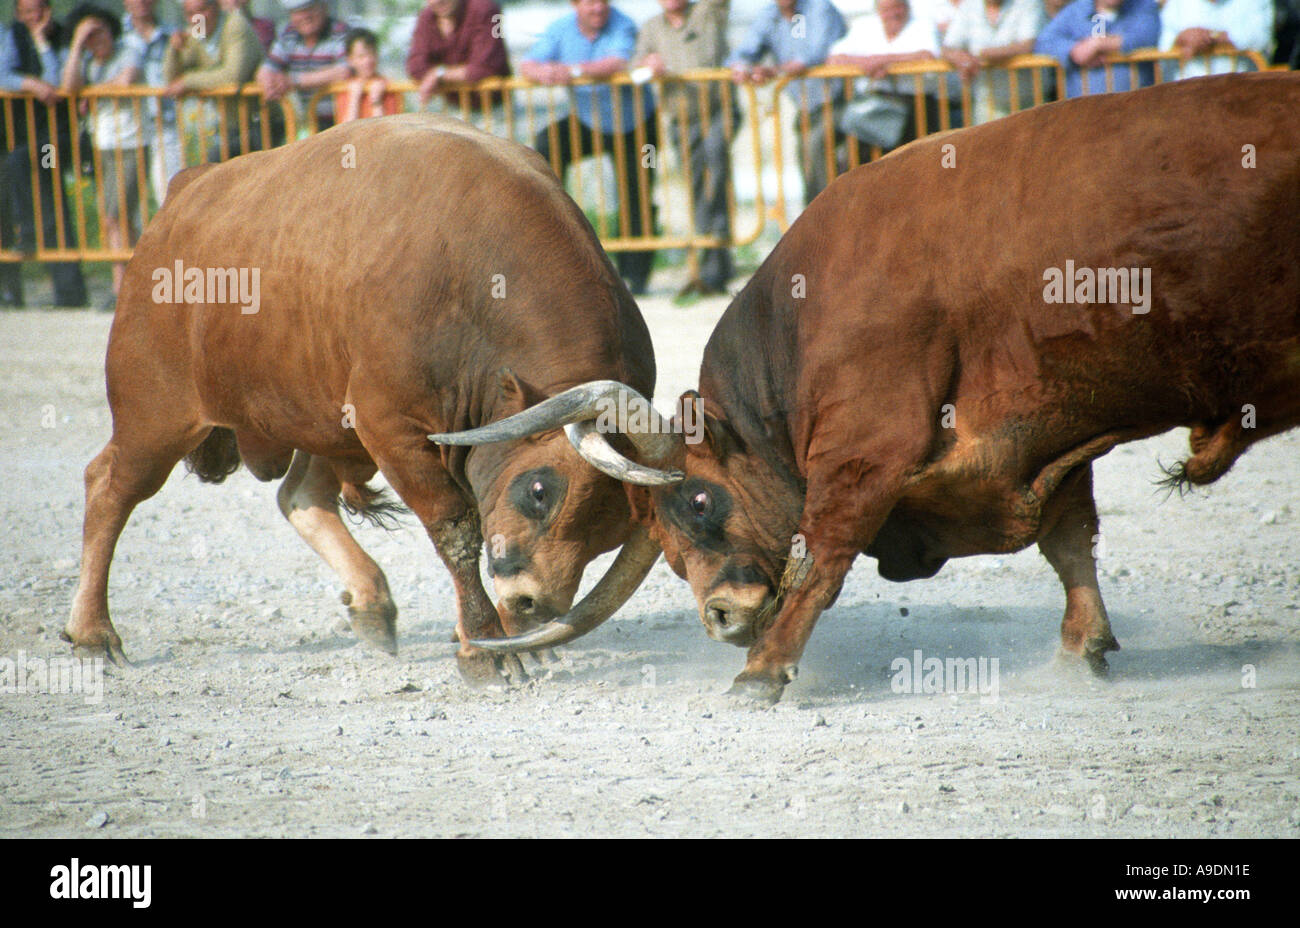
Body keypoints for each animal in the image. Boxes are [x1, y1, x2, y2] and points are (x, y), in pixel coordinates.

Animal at [65, 113, 677, 685]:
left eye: (609, 534)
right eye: (540, 490)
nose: (531, 605)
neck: (470, 280)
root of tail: (185, 191)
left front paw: (502, 636)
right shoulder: (391, 428)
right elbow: (457, 532)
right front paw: (486, 649)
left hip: (326, 421)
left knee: (299, 495)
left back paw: (372, 604)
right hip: (156, 415)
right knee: (109, 485)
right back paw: (93, 633)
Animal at [434, 73, 1300, 702]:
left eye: (700, 501)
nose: (720, 617)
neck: (802, 324)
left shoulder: (866, 450)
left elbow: (822, 558)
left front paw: (763, 671)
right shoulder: (1048, 436)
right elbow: (1071, 539)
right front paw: (1081, 647)